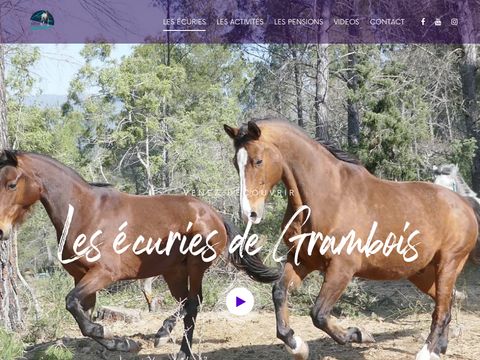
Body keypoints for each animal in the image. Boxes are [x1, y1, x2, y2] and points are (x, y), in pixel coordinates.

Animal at [0, 150, 280, 360]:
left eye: (12, 184)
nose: (1, 231)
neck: (85, 212)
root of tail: (213, 213)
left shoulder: (104, 274)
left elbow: (72, 305)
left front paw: (123, 343)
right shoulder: (81, 277)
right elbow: (83, 320)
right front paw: (117, 342)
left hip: (195, 266)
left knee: (193, 303)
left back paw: (181, 350)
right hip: (173, 271)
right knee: (185, 303)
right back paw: (163, 334)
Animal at [225, 119, 480, 360]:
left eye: (258, 161)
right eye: (235, 163)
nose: (249, 214)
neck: (328, 198)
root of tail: (464, 203)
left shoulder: (342, 269)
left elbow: (318, 314)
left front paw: (359, 335)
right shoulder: (303, 261)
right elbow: (279, 292)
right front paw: (297, 346)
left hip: (448, 264)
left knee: (442, 310)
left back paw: (427, 352)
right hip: (421, 273)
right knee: (447, 302)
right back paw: (440, 348)